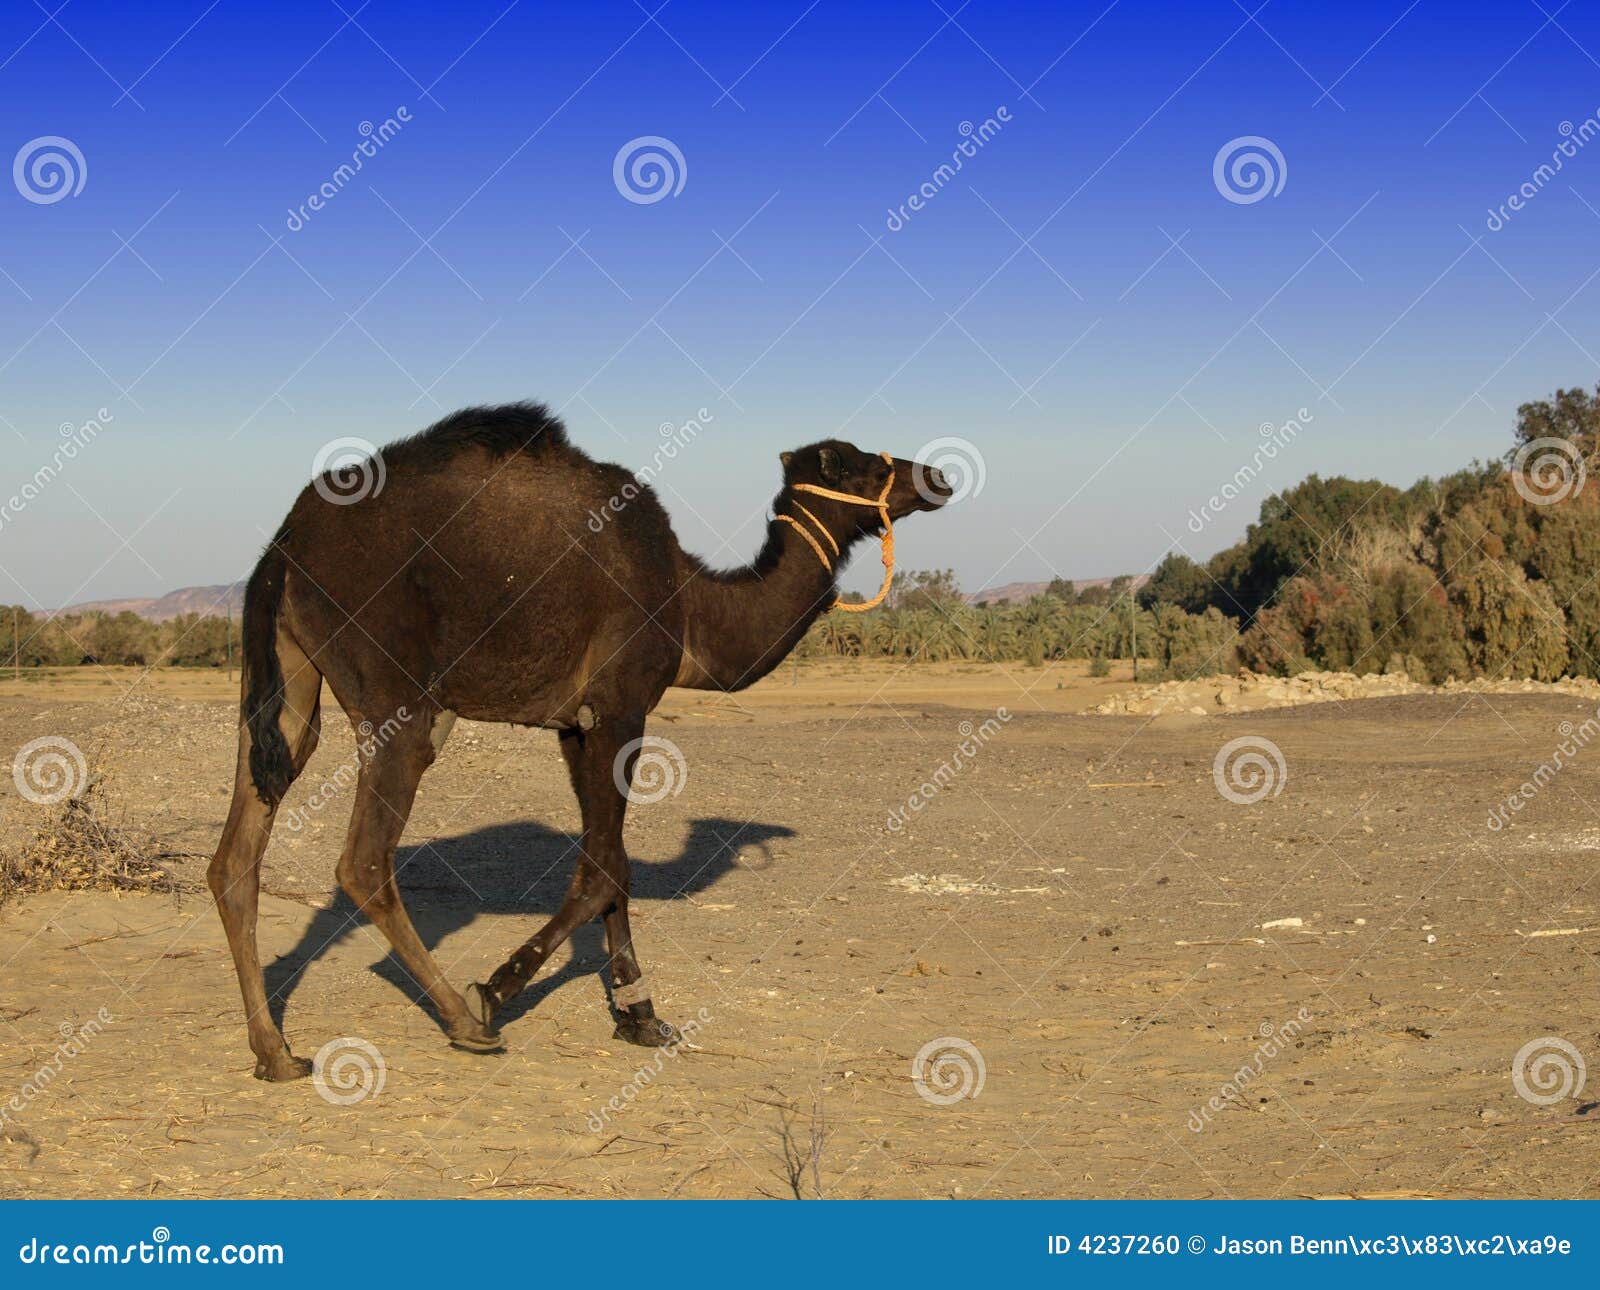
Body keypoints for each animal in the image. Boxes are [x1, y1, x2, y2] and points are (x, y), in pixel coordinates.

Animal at [209, 403, 953, 1080]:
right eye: (858, 464)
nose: (939, 476)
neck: (691, 604)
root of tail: (285, 546)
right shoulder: (621, 707)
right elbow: (603, 871)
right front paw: (498, 989)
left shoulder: (575, 724)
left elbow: (611, 862)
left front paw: (641, 1016)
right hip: (400, 700)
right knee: (363, 861)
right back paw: (463, 1019)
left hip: (289, 685)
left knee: (240, 847)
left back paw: (275, 1052)